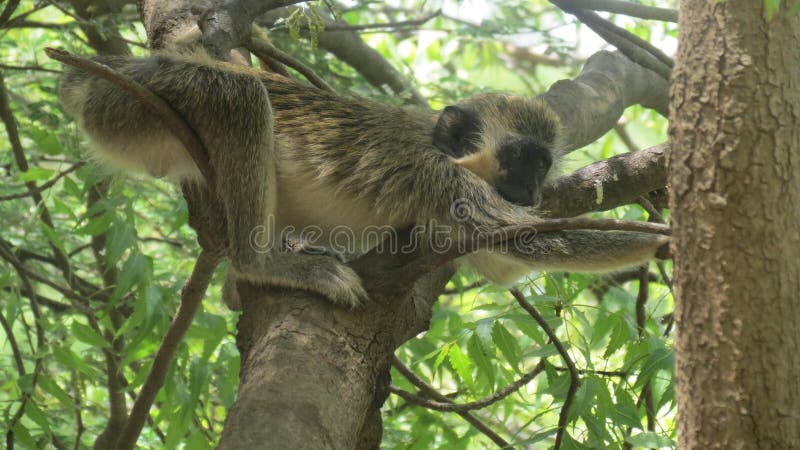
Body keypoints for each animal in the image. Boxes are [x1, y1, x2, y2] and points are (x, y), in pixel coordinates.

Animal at [59, 50, 668, 308]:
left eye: (543, 165)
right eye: (518, 158)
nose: (534, 189)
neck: (435, 144)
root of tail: (103, 80)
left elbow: (499, 260)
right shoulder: (435, 176)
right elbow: (523, 238)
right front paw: (671, 239)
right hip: (143, 101)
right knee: (240, 97)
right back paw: (262, 265)